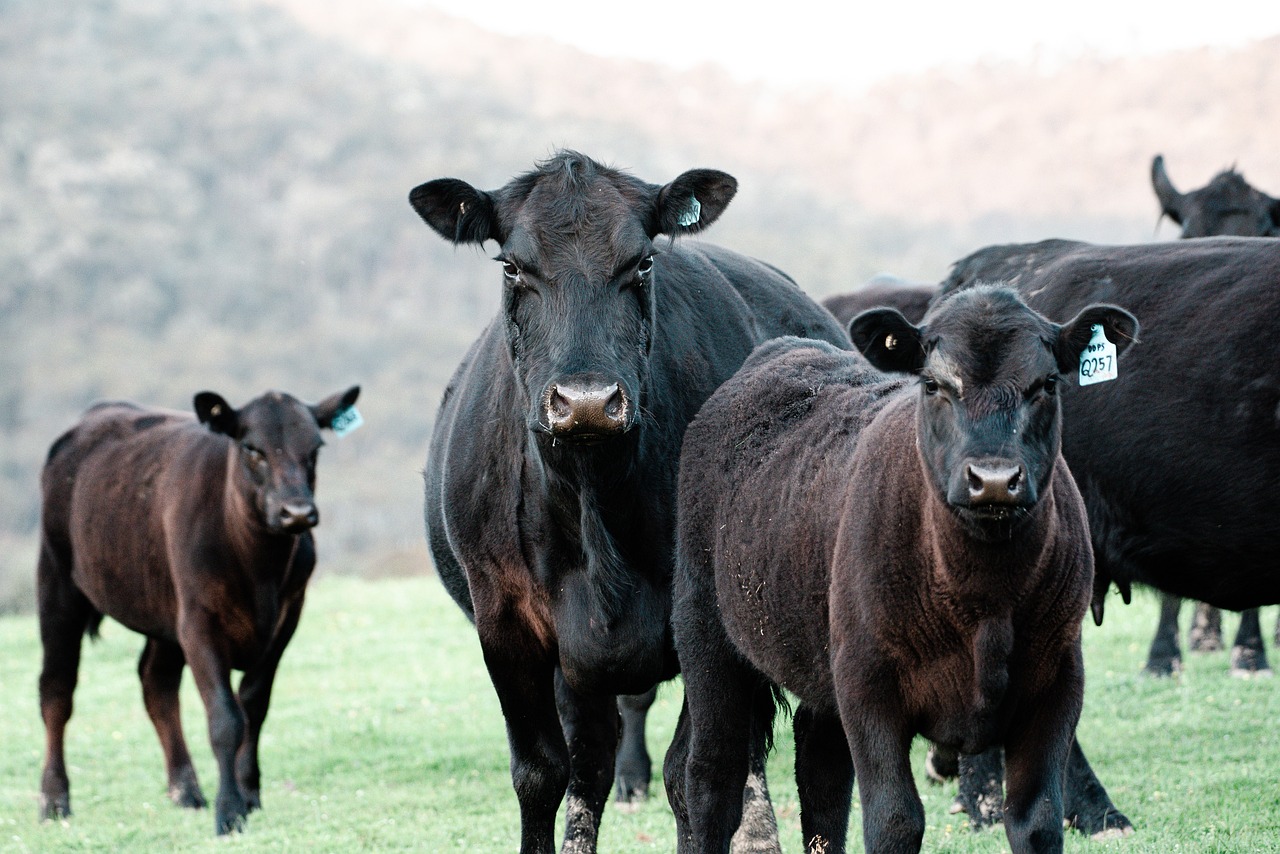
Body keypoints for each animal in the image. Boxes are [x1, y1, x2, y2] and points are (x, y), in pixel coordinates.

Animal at [37, 386, 360, 834]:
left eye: (315, 448)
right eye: (252, 448)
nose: (296, 512)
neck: (260, 569)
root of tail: (94, 416)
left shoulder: (286, 620)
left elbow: (253, 707)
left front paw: (249, 794)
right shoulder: (199, 623)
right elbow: (225, 717)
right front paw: (229, 811)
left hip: (162, 609)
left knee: (156, 684)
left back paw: (185, 791)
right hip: (57, 582)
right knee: (56, 690)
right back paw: (54, 800)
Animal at [410, 150, 849, 854]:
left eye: (642, 262)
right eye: (512, 266)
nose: (587, 400)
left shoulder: (702, 619)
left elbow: (692, 776)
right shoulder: (505, 619)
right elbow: (542, 772)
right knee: (591, 762)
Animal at [667, 285, 1137, 854]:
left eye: (1046, 384)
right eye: (933, 384)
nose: (994, 479)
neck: (986, 602)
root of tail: (781, 352)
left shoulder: (1057, 682)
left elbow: (1037, 818)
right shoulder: (868, 685)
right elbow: (895, 820)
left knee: (821, 776)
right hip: (704, 631)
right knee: (711, 775)